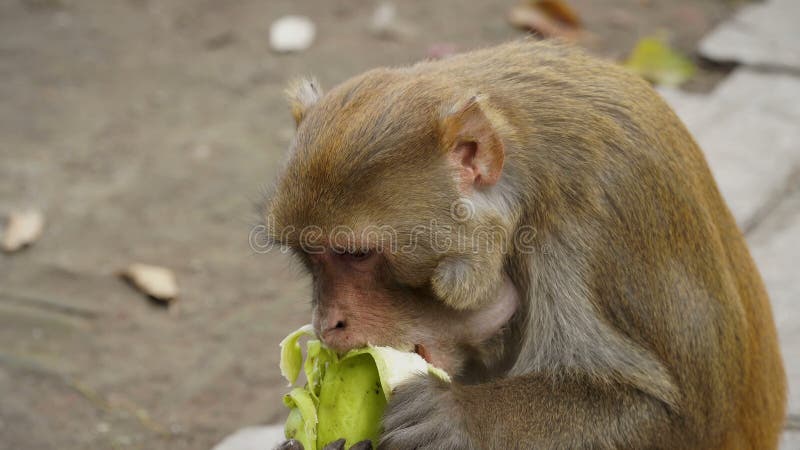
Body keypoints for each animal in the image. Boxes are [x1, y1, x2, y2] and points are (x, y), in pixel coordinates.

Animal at [267, 40, 787, 449]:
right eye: (310, 255)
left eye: (355, 255)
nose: (327, 323)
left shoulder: (601, 221)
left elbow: (684, 418)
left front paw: (458, 417)